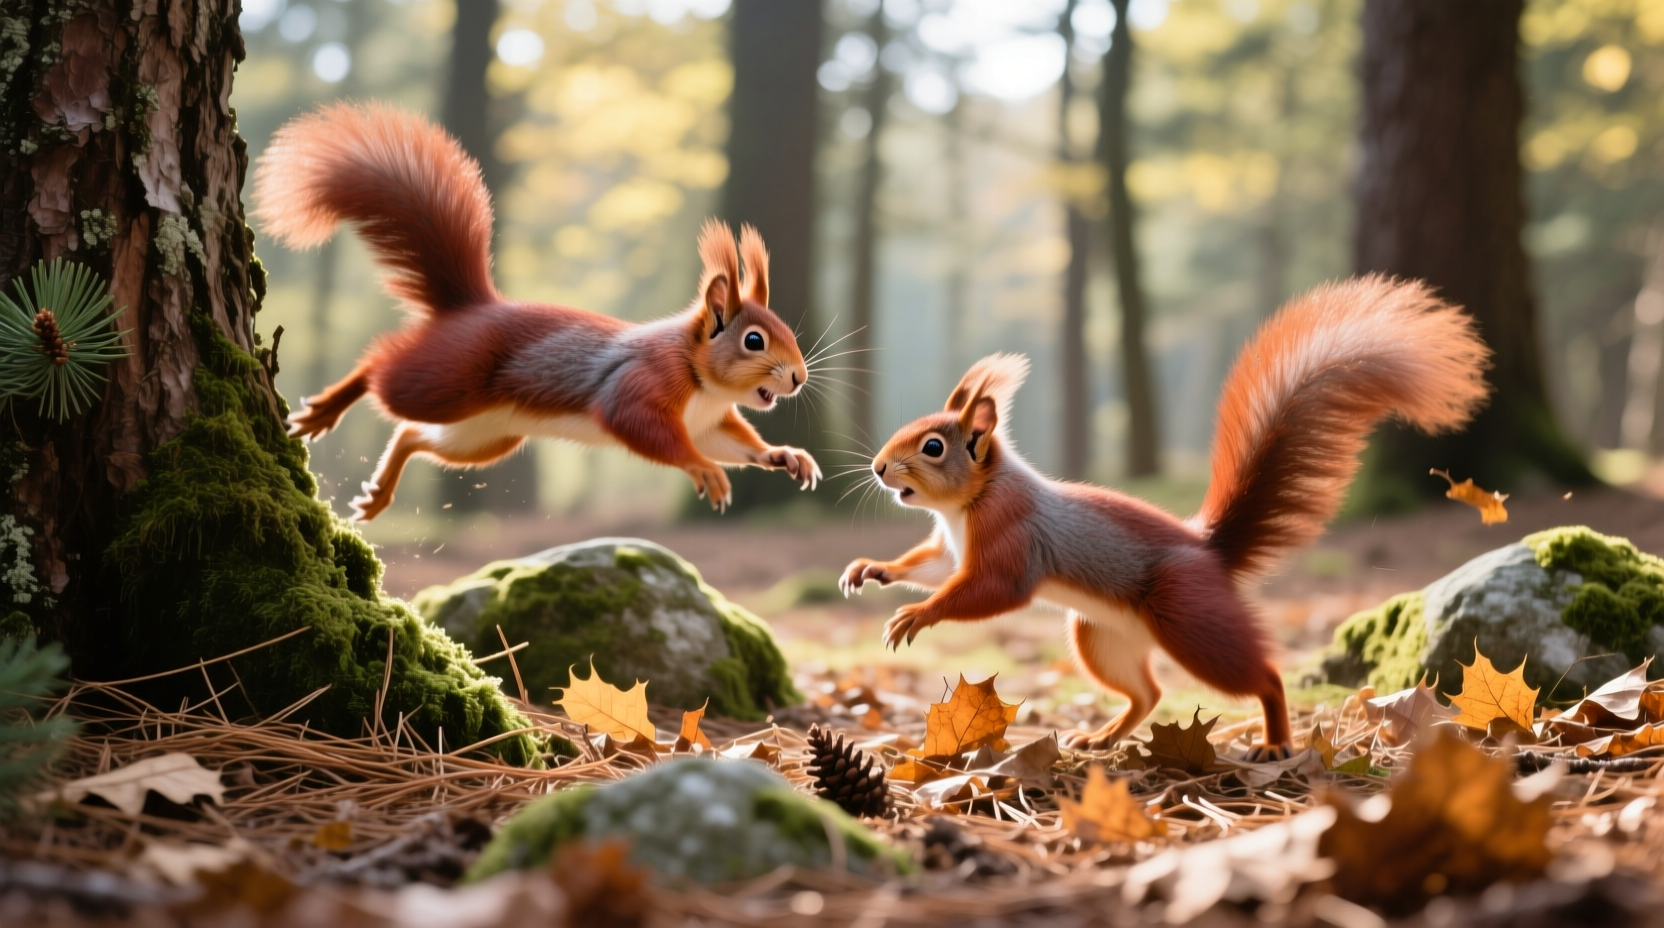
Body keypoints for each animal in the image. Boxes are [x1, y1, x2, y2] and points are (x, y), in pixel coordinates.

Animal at [252, 102, 820, 520]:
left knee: (412, 435)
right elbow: (647, 429)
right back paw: (327, 408)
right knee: (379, 370)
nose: (798, 376)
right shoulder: (639, 383)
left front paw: (784, 455)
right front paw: (703, 470)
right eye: (753, 340)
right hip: (446, 381)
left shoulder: (708, 423)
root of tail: (472, 307)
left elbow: (736, 443)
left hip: (484, 435)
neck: (701, 381)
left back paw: (379, 495)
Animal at [839, 277, 1490, 757]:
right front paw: (872, 570)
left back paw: (1275, 740)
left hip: (1190, 618)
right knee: (1147, 693)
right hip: (1102, 635)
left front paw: (919, 615)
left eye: (933, 447)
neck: (967, 505)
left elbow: (990, 589)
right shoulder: (950, 547)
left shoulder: (1011, 534)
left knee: (1262, 677)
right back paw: (1102, 736)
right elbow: (928, 565)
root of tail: (1210, 550)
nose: (878, 467)